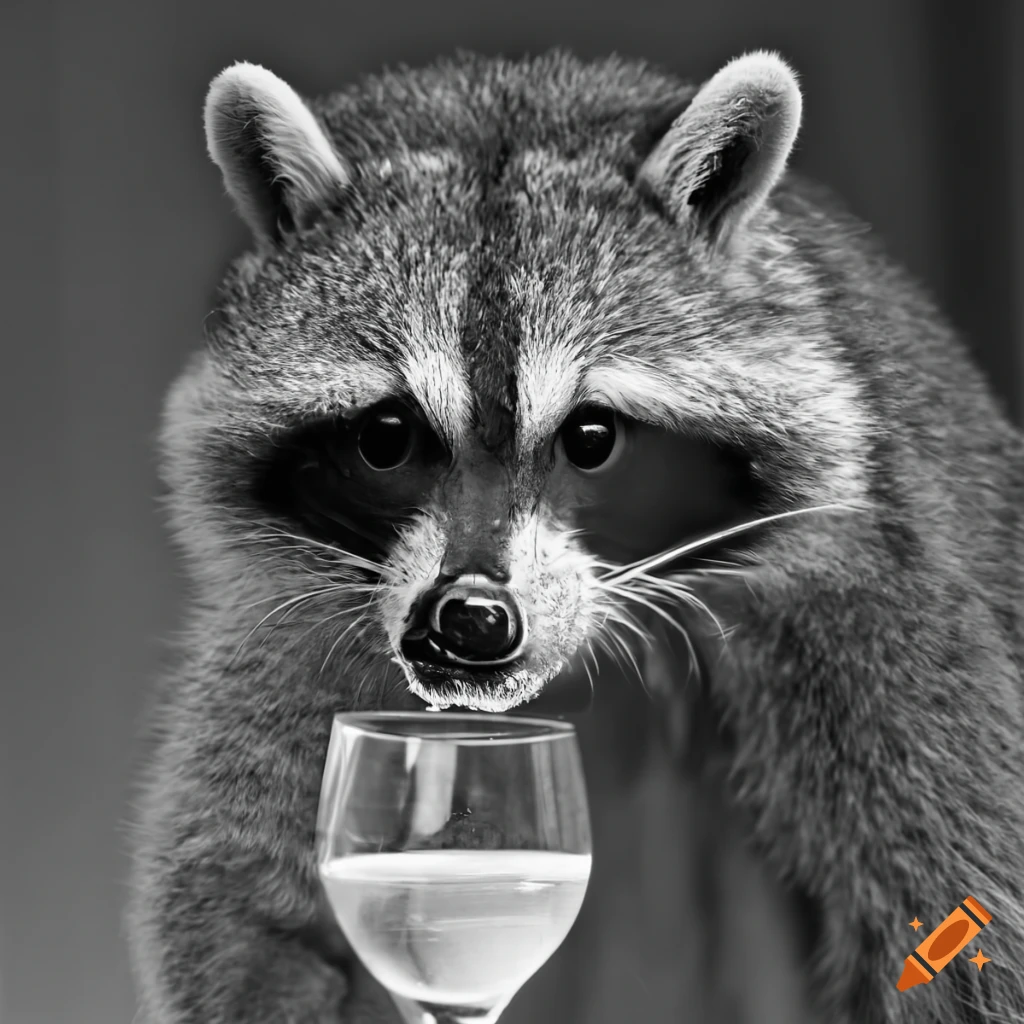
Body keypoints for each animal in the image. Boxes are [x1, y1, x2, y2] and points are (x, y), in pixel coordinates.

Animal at [127, 48, 1024, 1024]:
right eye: (387, 437)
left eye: (591, 437)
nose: (469, 619)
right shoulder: (294, 636)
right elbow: (241, 916)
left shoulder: (875, 608)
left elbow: (969, 927)